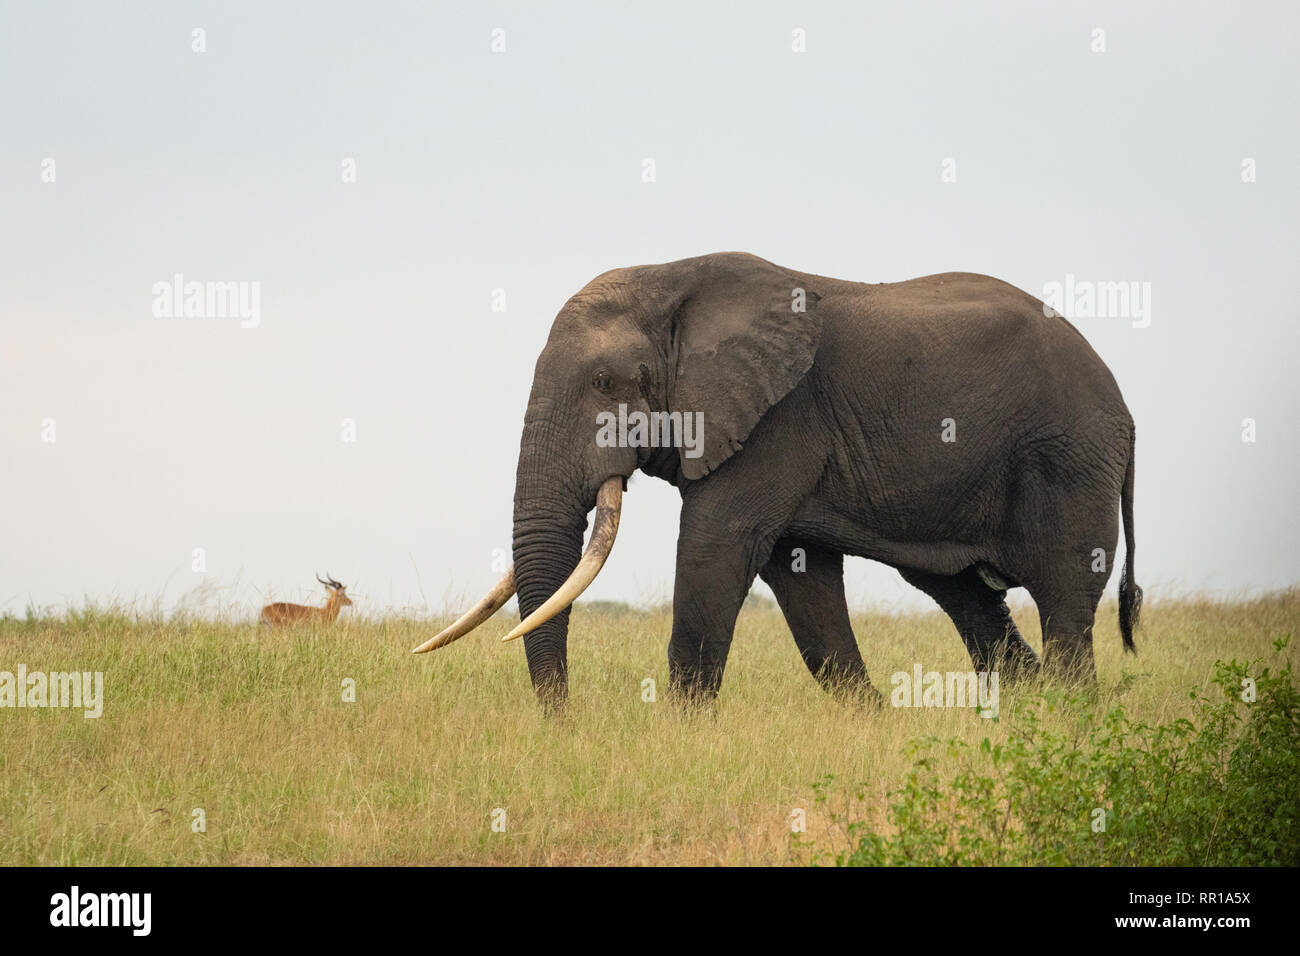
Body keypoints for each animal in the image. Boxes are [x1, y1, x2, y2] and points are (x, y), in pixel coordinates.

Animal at [414, 252, 1141, 709]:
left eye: (604, 383)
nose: (564, 722)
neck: (668, 281)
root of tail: (1124, 406)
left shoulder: (779, 418)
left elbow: (716, 548)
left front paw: (679, 734)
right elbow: (800, 576)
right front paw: (867, 722)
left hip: (1069, 459)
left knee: (1064, 594)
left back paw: (1068, 721)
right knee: (966, 596)